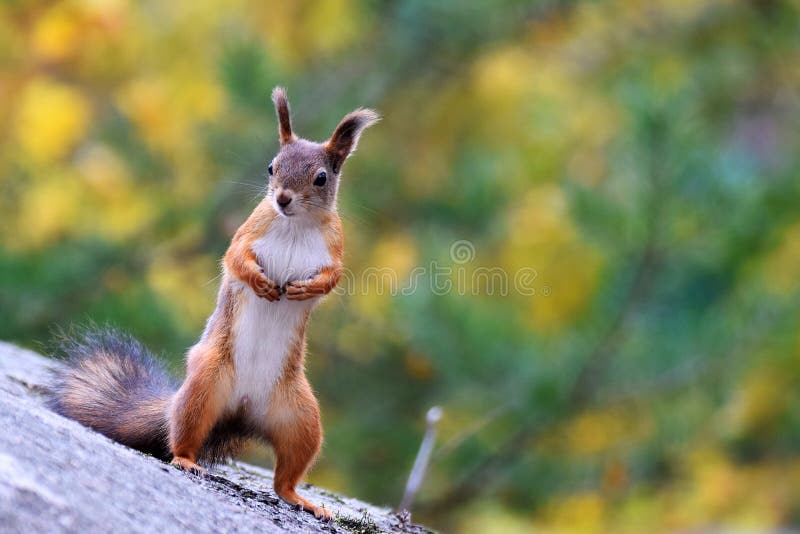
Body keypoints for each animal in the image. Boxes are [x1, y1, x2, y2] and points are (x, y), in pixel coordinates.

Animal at [48, 87, 379, 521]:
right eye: (271, 167)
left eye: (321, 177)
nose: (282, 199)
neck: (294, 224)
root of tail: (242, 411)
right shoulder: (248, 232)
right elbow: (235, 260)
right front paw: (260, 283)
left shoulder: (335, 249)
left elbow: (332, 278)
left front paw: (304, 290)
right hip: (205, 386)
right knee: (183, 437)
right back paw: (186, 459)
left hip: (301, 419)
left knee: (286, 476)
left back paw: (302, 500)